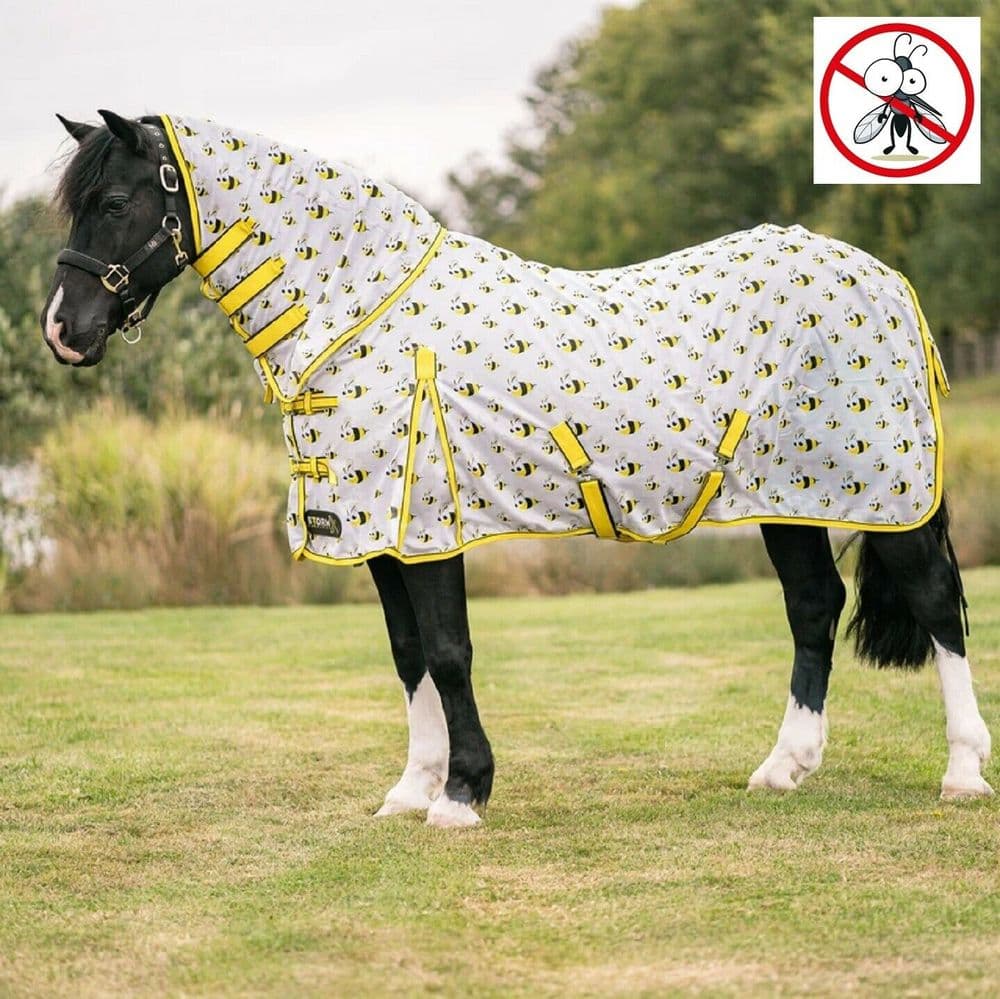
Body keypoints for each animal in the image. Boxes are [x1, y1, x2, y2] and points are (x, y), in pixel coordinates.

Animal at [40, 110, 992, 827]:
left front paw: (462, 796)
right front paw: (411, 789)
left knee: (937, 600)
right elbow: (407, 654)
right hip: (787, 497)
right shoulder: (380, 532)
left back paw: (962, 773)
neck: (368, 314)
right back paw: (784, 767)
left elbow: (449, 651)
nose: (63, 329)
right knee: (814, 605)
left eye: (116, 200)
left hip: (889, 492)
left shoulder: (429, 526)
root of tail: (885, 277)